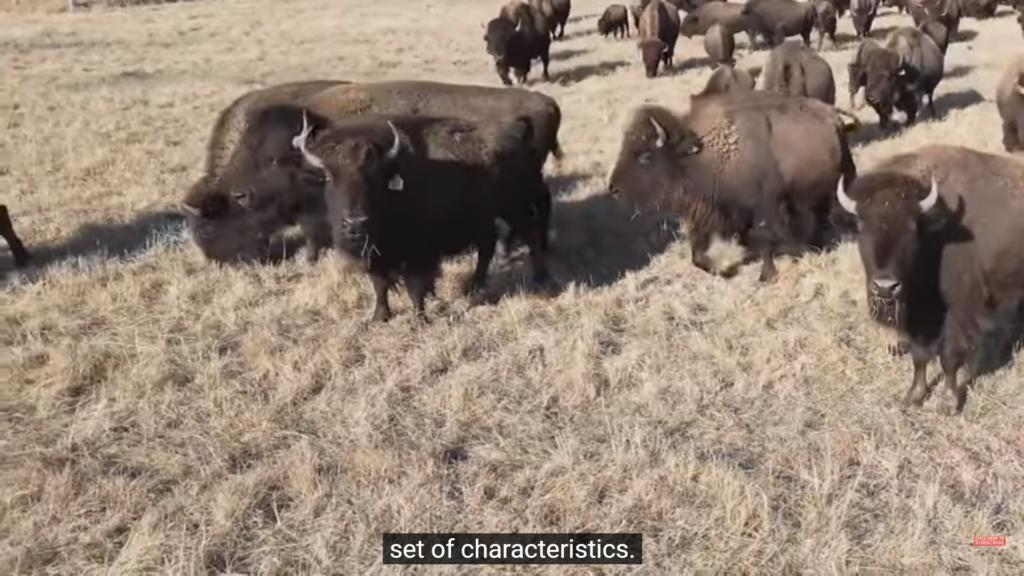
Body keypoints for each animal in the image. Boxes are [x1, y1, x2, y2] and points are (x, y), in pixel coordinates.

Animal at [290, 110, 553, 322]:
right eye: (329, 177)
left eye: (376, 176)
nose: (356, 224)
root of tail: (517, 128)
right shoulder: (377, 256)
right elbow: (379, 285)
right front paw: (379, 317)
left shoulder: (420, 253)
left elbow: (415, 287)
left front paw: (419, 319)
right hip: (488, 217)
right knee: (488, 247)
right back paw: (474, 286)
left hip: (515, 207)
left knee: (530, 234)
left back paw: (541, 278)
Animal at [607, 91, 860, 282]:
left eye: (645, 156)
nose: (613, 189)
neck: (701, 154)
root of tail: (833, 117)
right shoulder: (707, 213)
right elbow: (698, 255)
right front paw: (725, 272)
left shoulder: (763, 209)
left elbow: (766, 240)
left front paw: (766, 276)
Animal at [835, 144, 1024, 414]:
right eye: (861, 225)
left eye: (913, 226)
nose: (885, 287)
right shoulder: (919, 318)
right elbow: (919, 356)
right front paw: (914, 396)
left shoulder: (957, 312)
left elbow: (949, 357)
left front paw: (948, 403)